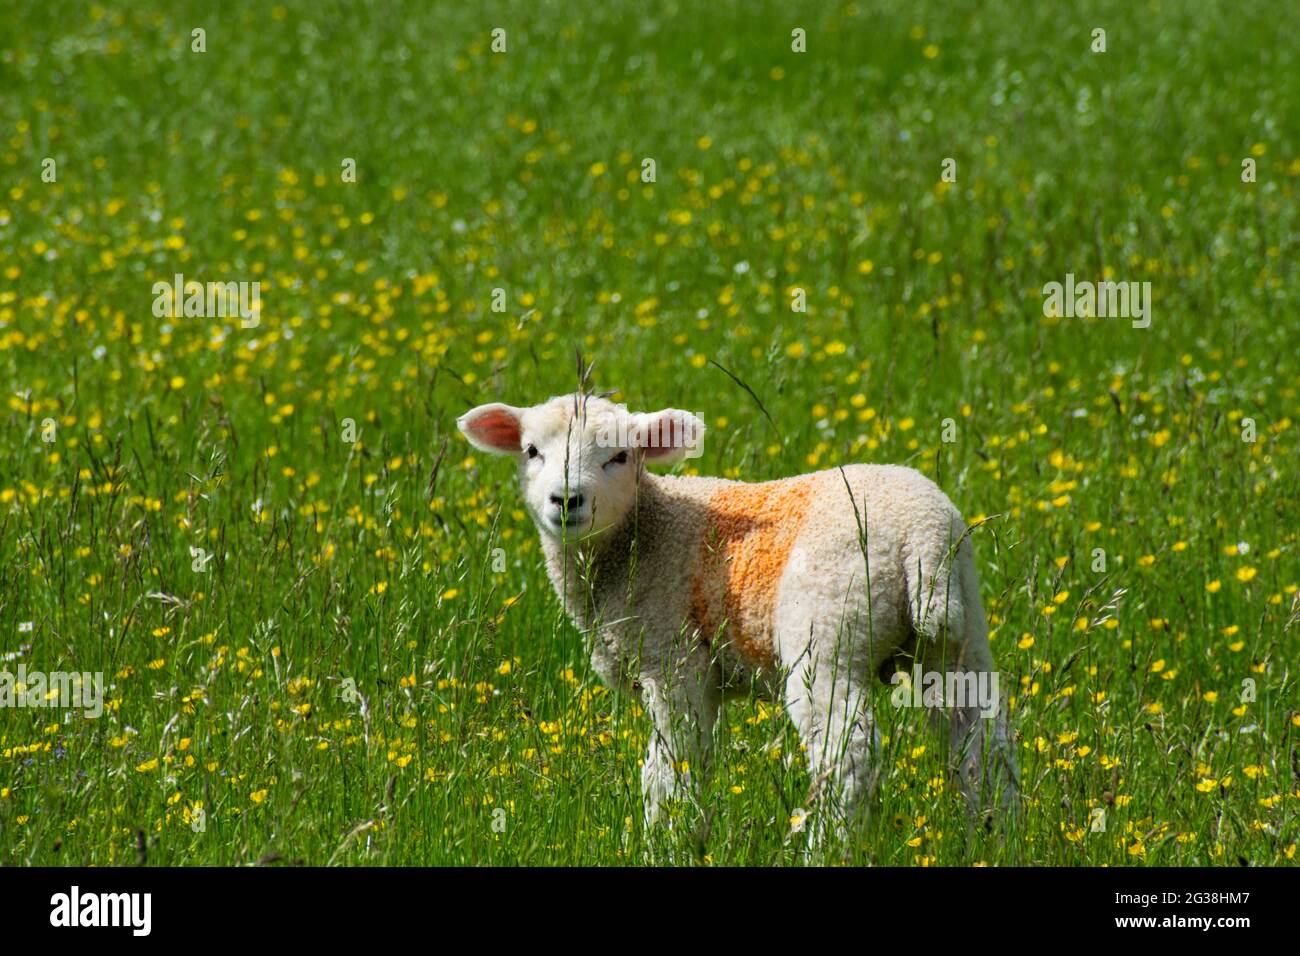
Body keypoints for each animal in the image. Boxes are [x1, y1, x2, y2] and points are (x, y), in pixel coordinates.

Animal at [458, 392, 1019, 845]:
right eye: (532, 452)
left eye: (620, 456)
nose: (566, 500)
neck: (640, 535)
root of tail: (921, 535)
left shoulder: (673, 661)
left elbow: (669, 769)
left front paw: (668, 842)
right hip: (961, 635)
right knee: (984, 746)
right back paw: (996, 840)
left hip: (828, 634)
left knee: (848, 756)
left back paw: (826, 848)